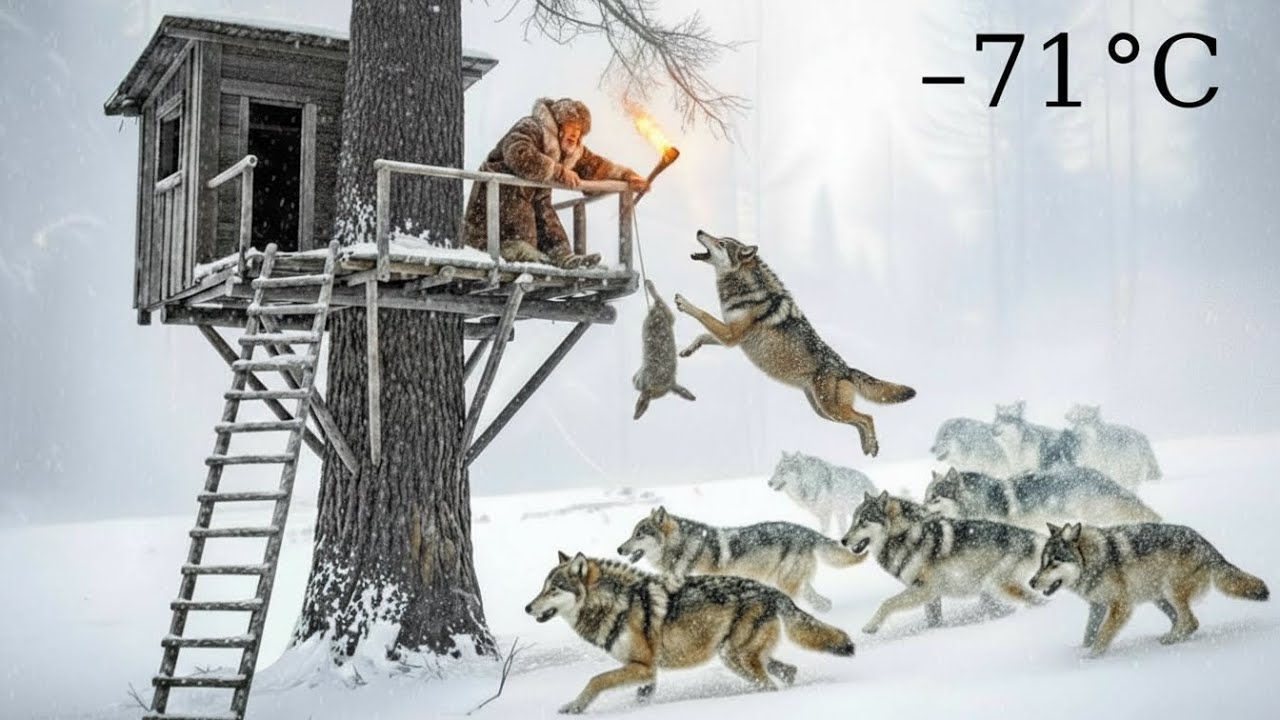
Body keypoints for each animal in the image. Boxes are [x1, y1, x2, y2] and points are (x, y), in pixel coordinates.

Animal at [526, 551, 856, 713]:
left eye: (553, 589)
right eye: (542, 587)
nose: (527, 607)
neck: (615, 605)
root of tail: (773, 591)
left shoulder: (642, 666)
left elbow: (595, 680)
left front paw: (574, 707)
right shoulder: (648, 672)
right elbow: (641, 695)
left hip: (734, 657)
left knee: (770, 684)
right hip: (735, 655)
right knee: (786, 670)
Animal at [617, 506, 862, 612]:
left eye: (639, 534)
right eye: (632, 533)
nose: (619, 549)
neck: (682, 548)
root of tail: (806, 531)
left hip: (785, 582)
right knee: (821, 602)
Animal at [673, 230, 915, 457]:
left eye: (721, 243)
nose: (700, 231)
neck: (743, 287)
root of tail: (847, 369)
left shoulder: (731, 335)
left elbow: (703, 314)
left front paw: (683, 303)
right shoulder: (730, 338)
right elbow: (701, 336)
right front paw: (687, 350)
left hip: (830, 409)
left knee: (867, 417)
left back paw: (872, 446)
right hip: (824, 412)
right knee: (859, 421)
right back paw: (868, 447)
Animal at [841, 491, 1044, 634]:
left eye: (863, 521)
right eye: (852, 521)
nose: (842, 540)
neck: (902, 535)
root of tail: (1033, 537)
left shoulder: (925, 589)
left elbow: (887, 603)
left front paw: (871, 626)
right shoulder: (931, 594)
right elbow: (933, 620)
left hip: (998, 585)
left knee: (1039, 601)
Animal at [1029, 522, 1269, 657]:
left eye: (1053, 563)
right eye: (1041, 562)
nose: (1031, 582)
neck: (1092, 561)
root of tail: (1211, 549)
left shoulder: (1121, 606)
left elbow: (1103, 635)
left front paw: (1088, 659)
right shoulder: (1097, 606)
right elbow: (1089, 633)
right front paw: (1081, 650)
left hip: (1170, 590)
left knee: (1191, 621)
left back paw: (1171, 641)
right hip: (1160, 598)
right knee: (1186, 622)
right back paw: (1172, 638)